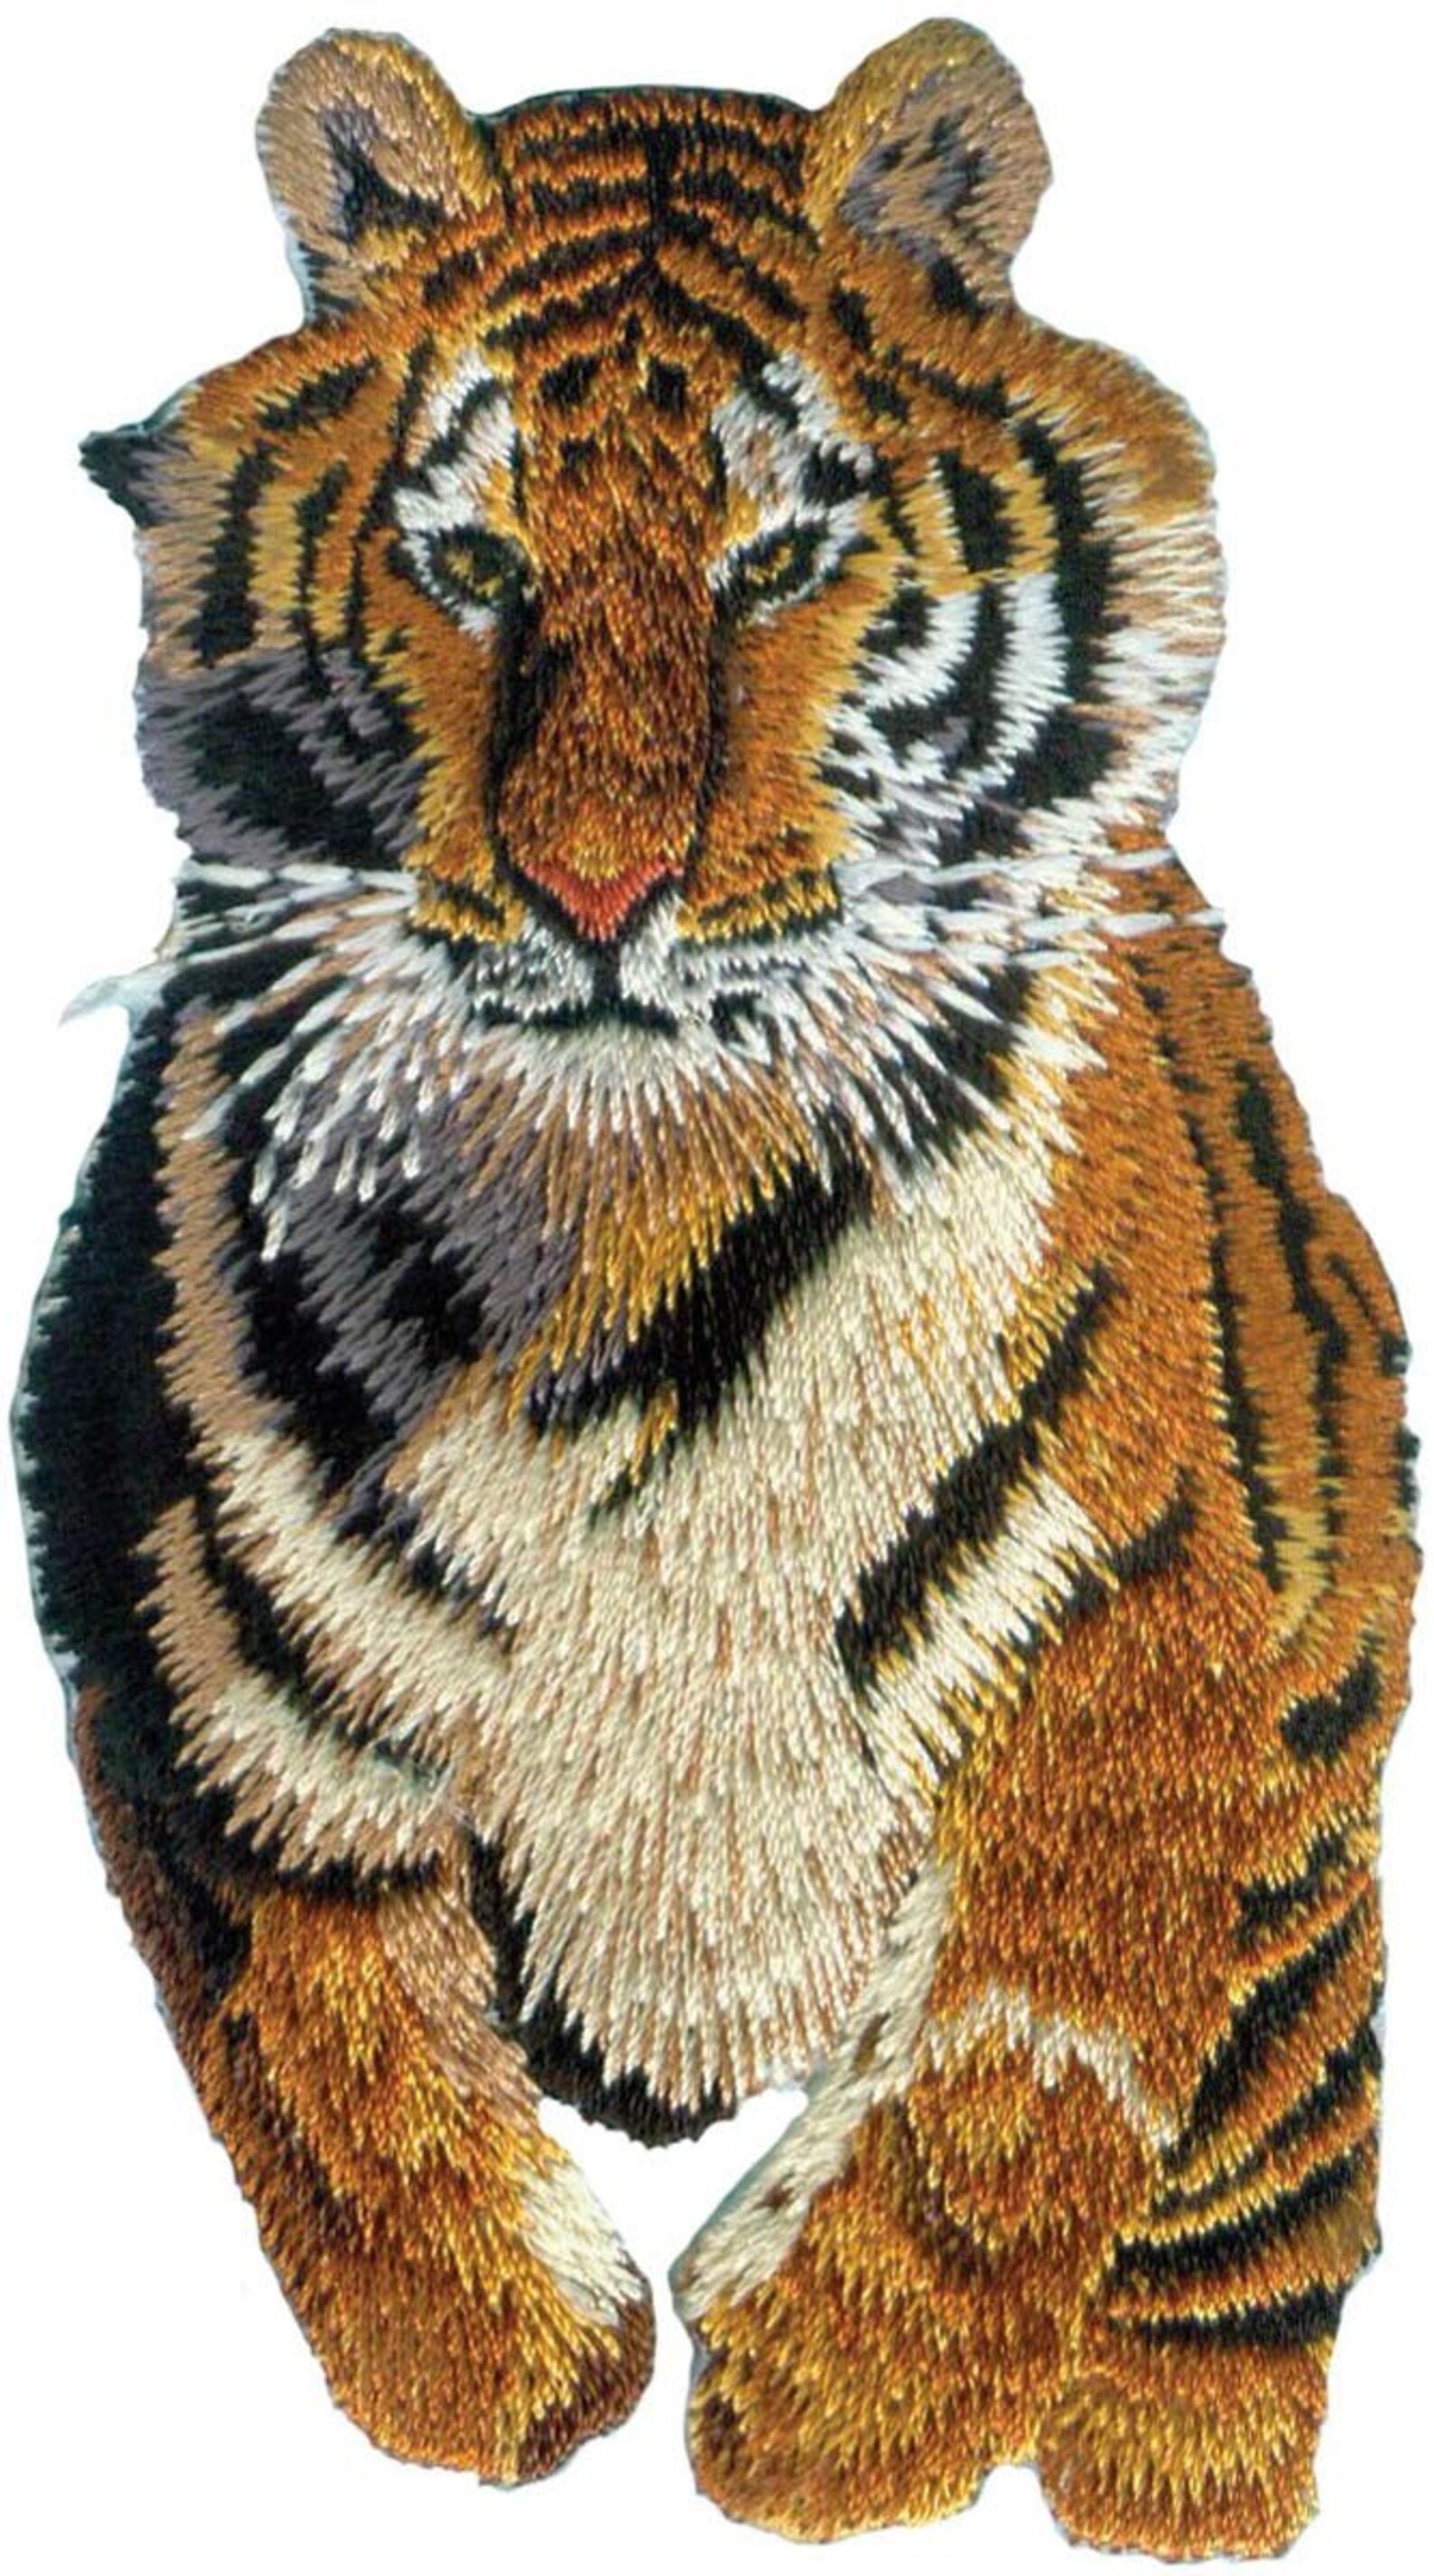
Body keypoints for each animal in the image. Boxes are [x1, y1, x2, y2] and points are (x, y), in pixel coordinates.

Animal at [15, 17, 1415, 2554]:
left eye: (776, 560)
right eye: (469, 563)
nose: (596, 892)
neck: (633, 1220)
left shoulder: (1141, 1616)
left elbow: (1017, 2059)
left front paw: (837, 2419)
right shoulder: (186, 1639)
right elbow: (330, 2050)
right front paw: (504, 2373)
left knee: (1242, 2228)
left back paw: (1169, 2459)